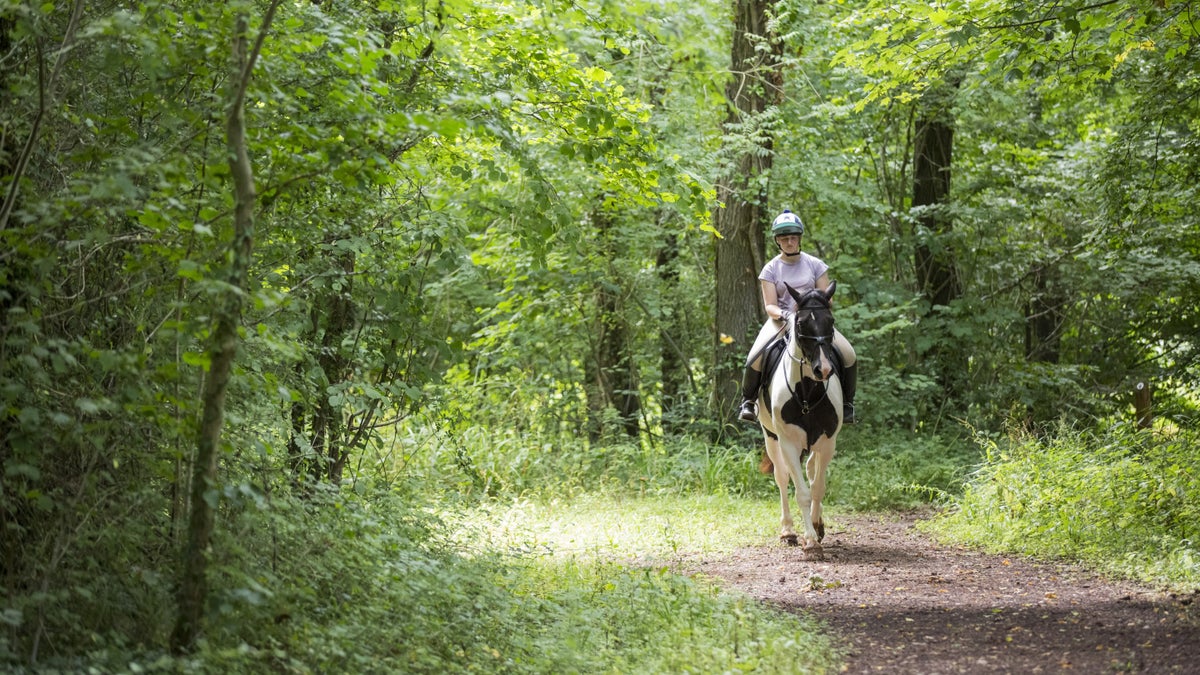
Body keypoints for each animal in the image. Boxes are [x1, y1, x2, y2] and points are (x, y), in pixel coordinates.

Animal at [756, 281, 843, 560]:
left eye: (831, 321)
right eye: (802, 323)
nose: (823, 369)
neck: (807, 393)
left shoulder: (827, 442)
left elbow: (817, 487)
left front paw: (816, 527)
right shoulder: (789, 444)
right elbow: (802, 492)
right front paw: (811, 542)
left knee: (811, 471)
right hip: (771, 438)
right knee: (783, 478)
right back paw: (788, 532)